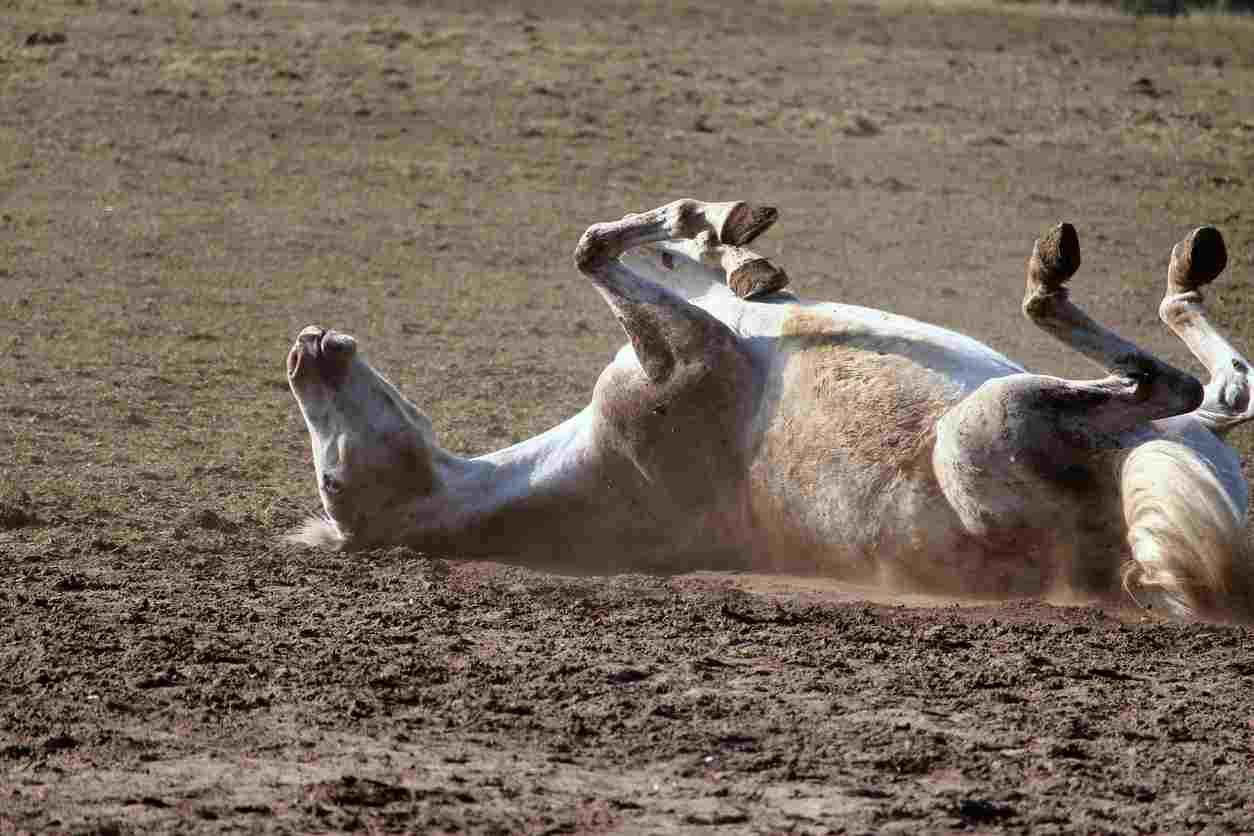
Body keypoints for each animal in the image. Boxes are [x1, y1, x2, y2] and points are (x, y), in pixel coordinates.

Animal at [286, 199, 1254, 623]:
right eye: (336, 480)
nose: (305, 351)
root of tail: (1124, 563)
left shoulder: (693, 325)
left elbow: (681, 259)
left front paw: (735, 242)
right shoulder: (689, 352)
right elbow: (594, 249)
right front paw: (715, 226)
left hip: (1173, 440)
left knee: (1220, 392)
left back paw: (1184, 270)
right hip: (991, 428)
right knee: (1179, 386)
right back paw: (1068, 274)